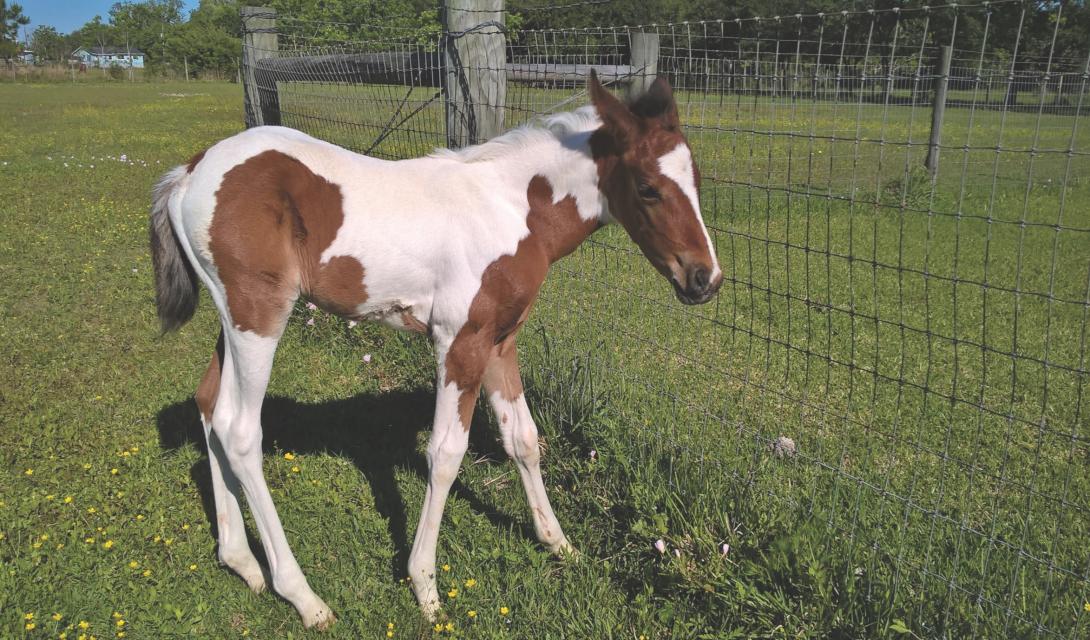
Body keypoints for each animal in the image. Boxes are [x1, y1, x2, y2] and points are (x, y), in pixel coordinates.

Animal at [149, 70, 722, 628]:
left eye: (697, 181)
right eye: (648, 188)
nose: (705, 279)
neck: (512, 210)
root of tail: (191, 172)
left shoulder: (500, 341)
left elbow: (524, 439)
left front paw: (558, 543)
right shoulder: (459, 341)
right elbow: (445, 455)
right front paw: (424, 586)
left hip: (232, 318)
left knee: (210, 406)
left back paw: (241, 562)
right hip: (260, 314)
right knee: (240, 431)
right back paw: (304, 597)